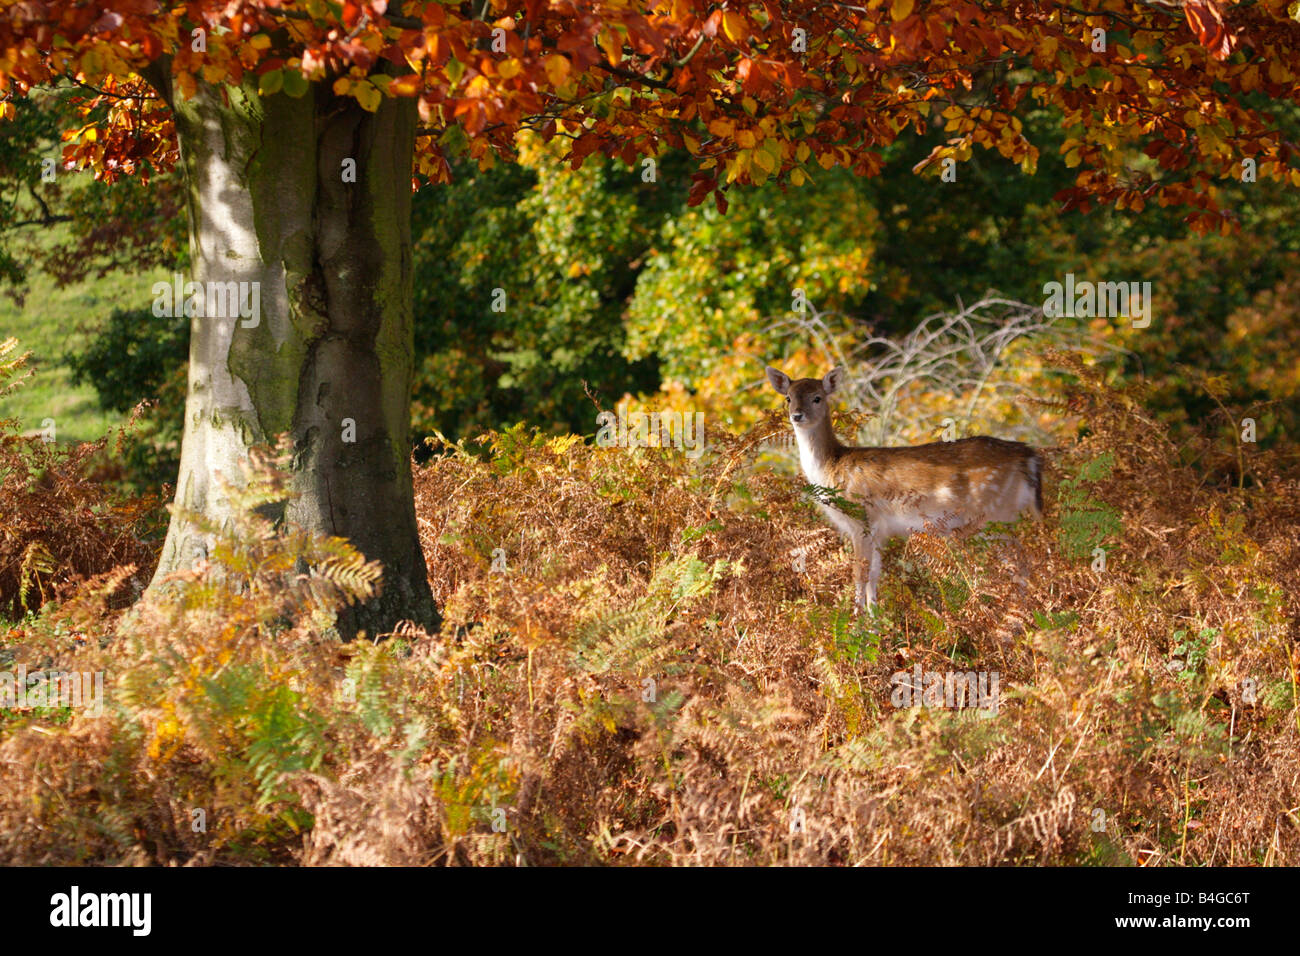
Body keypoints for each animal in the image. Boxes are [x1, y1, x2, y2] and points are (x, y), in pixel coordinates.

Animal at [765, 365, 1043, 613]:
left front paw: (855, 623)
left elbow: (859, 574)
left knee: (1022, 561)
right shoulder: (879, 529)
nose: (797, 415)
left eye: (817, 397)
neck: (831, 468)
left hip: (995, 514)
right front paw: (875, 624)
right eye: (788, 397)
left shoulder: (860, 519)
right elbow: (874, 576)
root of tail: (1028, 455)